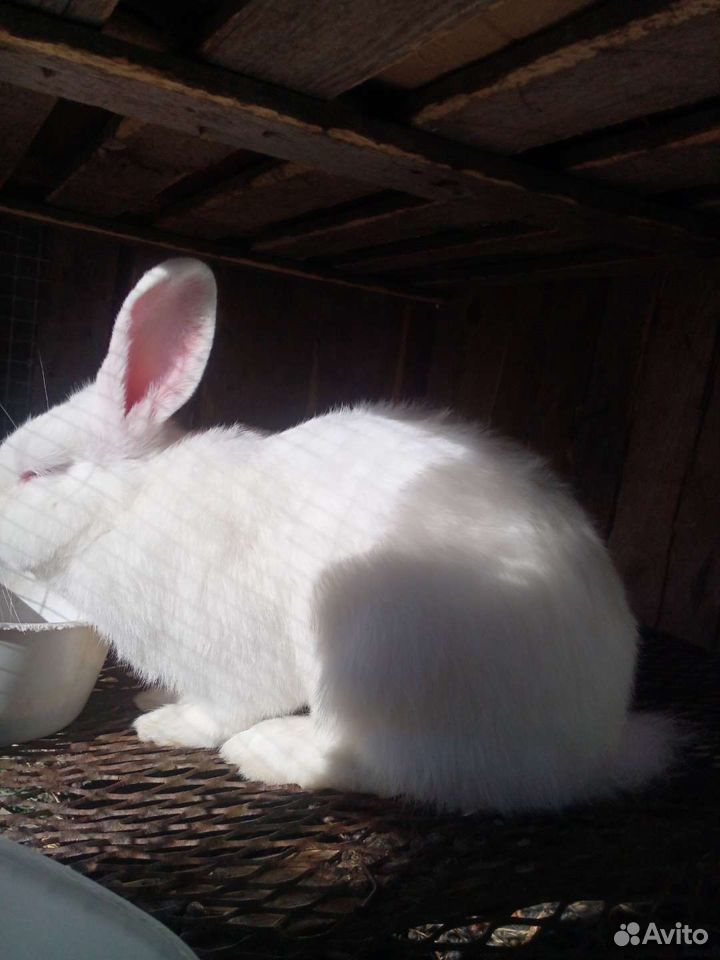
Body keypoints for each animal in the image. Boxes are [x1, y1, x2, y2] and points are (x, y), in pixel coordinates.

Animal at [0, 257, 674, 813]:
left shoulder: (232, 657)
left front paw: (167, 726)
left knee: (388, 762)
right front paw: (154, 701)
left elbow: (224, 707)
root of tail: (594, 750)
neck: (127, 507)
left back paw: (269, 751)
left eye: (39, 473)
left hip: (377, 653)